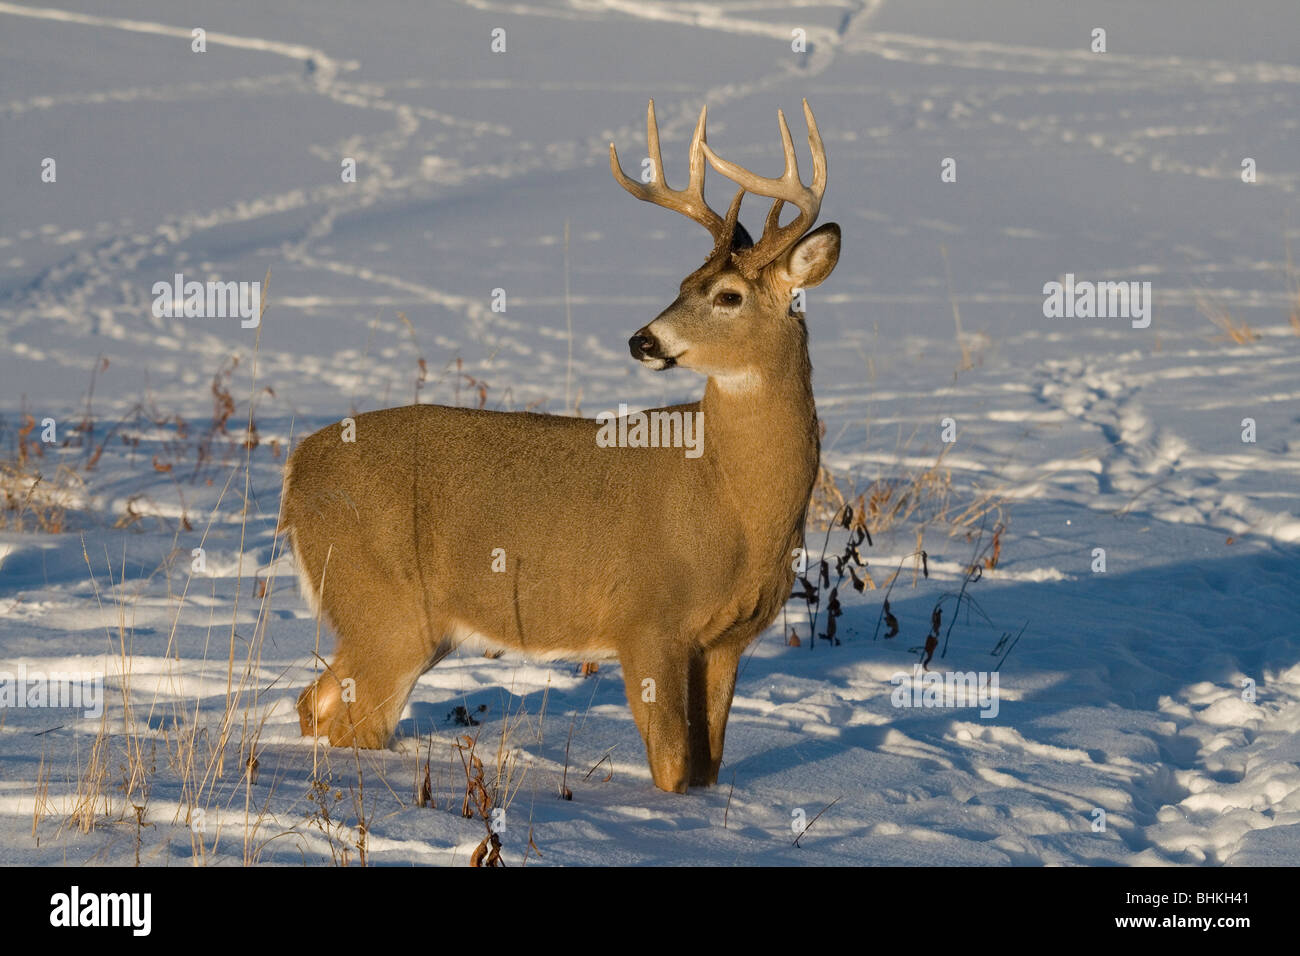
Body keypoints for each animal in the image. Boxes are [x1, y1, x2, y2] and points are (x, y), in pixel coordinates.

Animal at [279, 99, 840, 793]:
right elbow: (671, 765)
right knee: (350, 722)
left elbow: (706, 767)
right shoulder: (646, 620)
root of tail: (296, 468)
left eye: (727, 294)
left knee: (316, 700)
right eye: (683, 282)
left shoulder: (727, 640)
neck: (735, 501)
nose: (642, 340)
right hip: (382, 605)